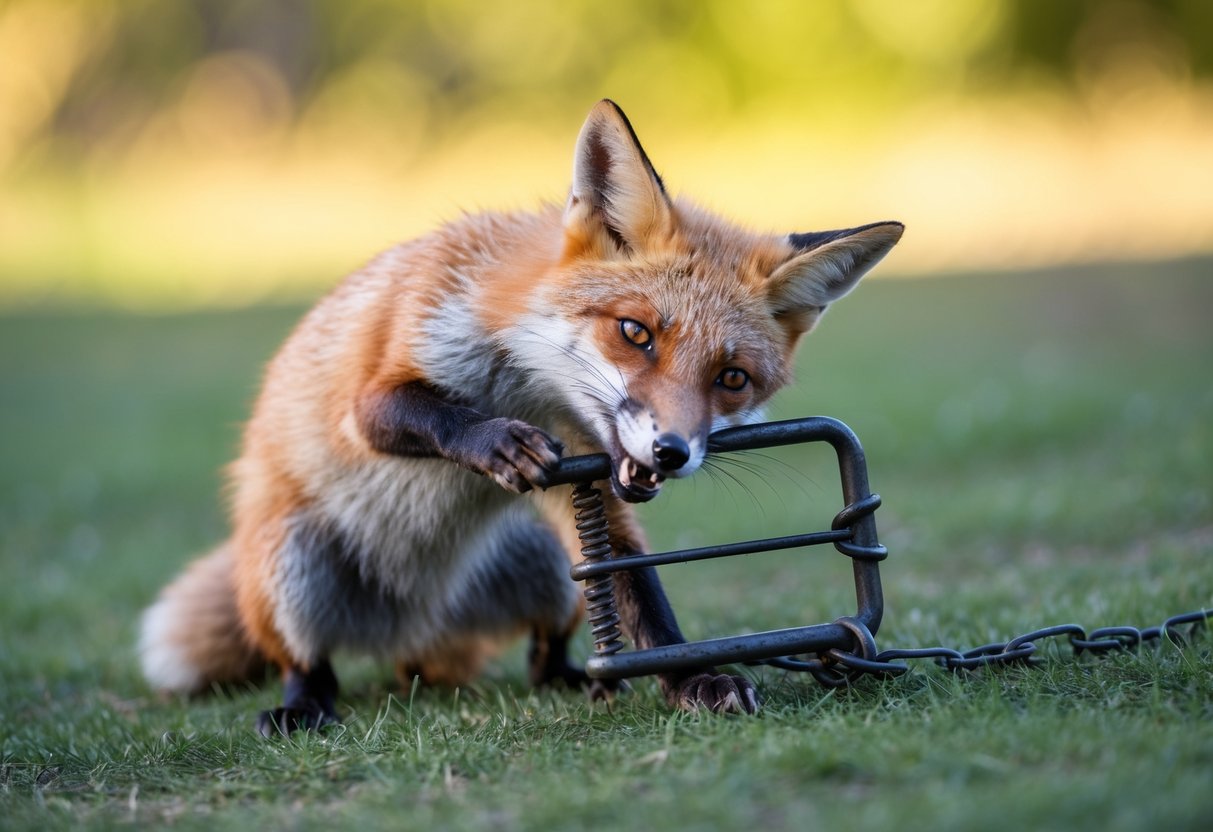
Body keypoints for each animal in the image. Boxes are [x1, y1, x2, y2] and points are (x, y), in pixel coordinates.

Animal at [138, 100, 903, 734]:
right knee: (306, 661)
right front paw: (494, 441)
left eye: (732, 379)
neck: (529, 386)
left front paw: (693, 681)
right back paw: (302, 707)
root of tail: (416, 636)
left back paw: (573, 678)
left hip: (552, 567)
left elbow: (645, 601)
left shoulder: (594, 490)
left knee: (544, 647)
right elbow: (424, 412)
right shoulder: (375, 383)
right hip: (289, 567)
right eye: (635, 333)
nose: (670, 453)